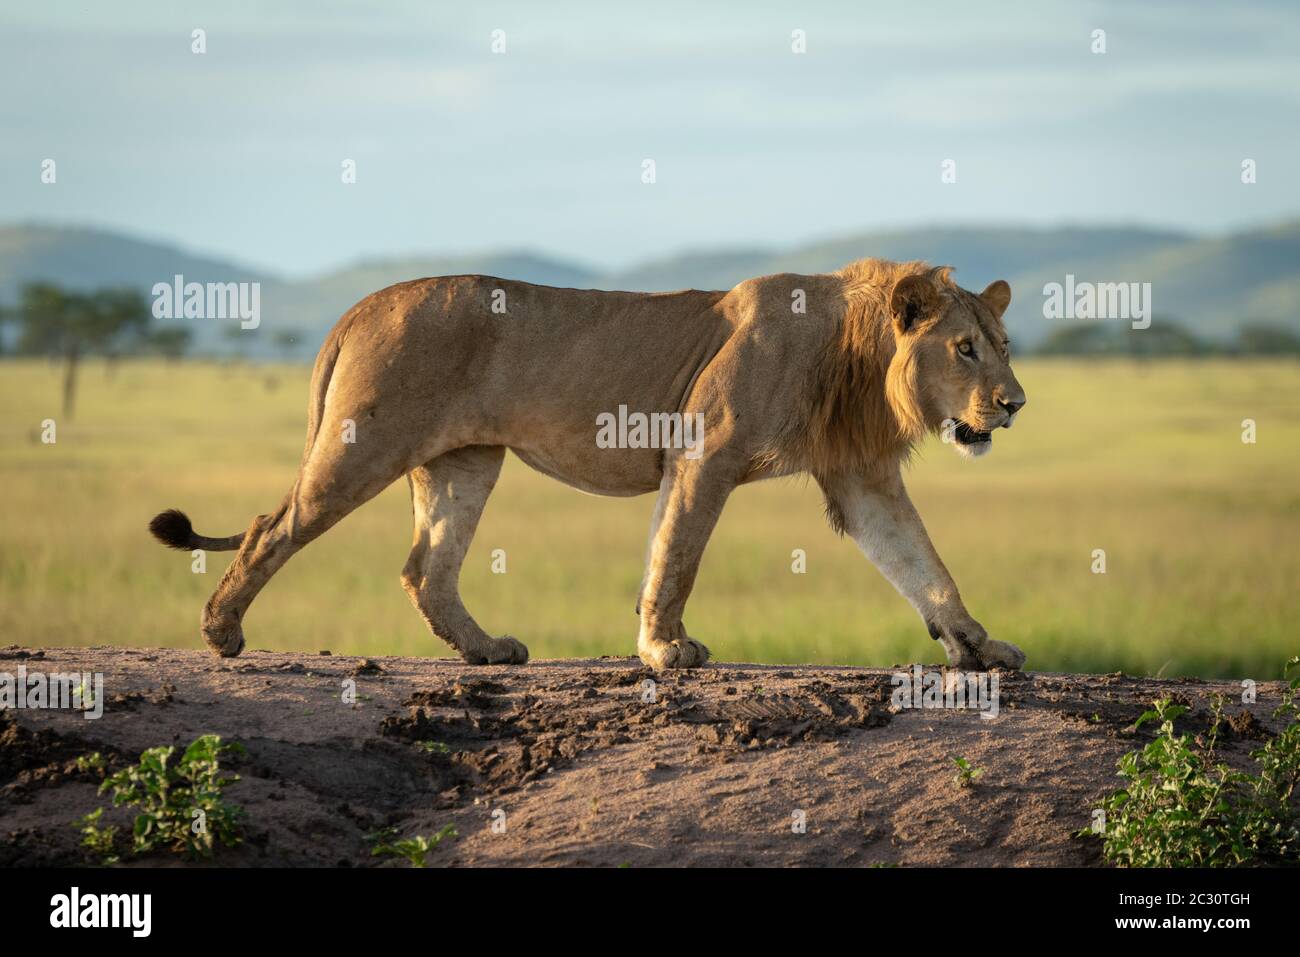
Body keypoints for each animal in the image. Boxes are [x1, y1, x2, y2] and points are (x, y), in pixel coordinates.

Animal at [149, 258, 1028, 672]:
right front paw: (666, 650)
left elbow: (924, 565)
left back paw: (484, 649)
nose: (1015, 402)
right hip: (363, 445)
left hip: (465, 461)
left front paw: (978, 645)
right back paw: (221, 630)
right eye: (965, 348)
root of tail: (363, 304)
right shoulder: (704, 449)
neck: (857, 353)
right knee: (271, 527)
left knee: (426, 568)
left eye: (1004, 344)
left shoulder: (860, 475)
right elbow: (677, 558)